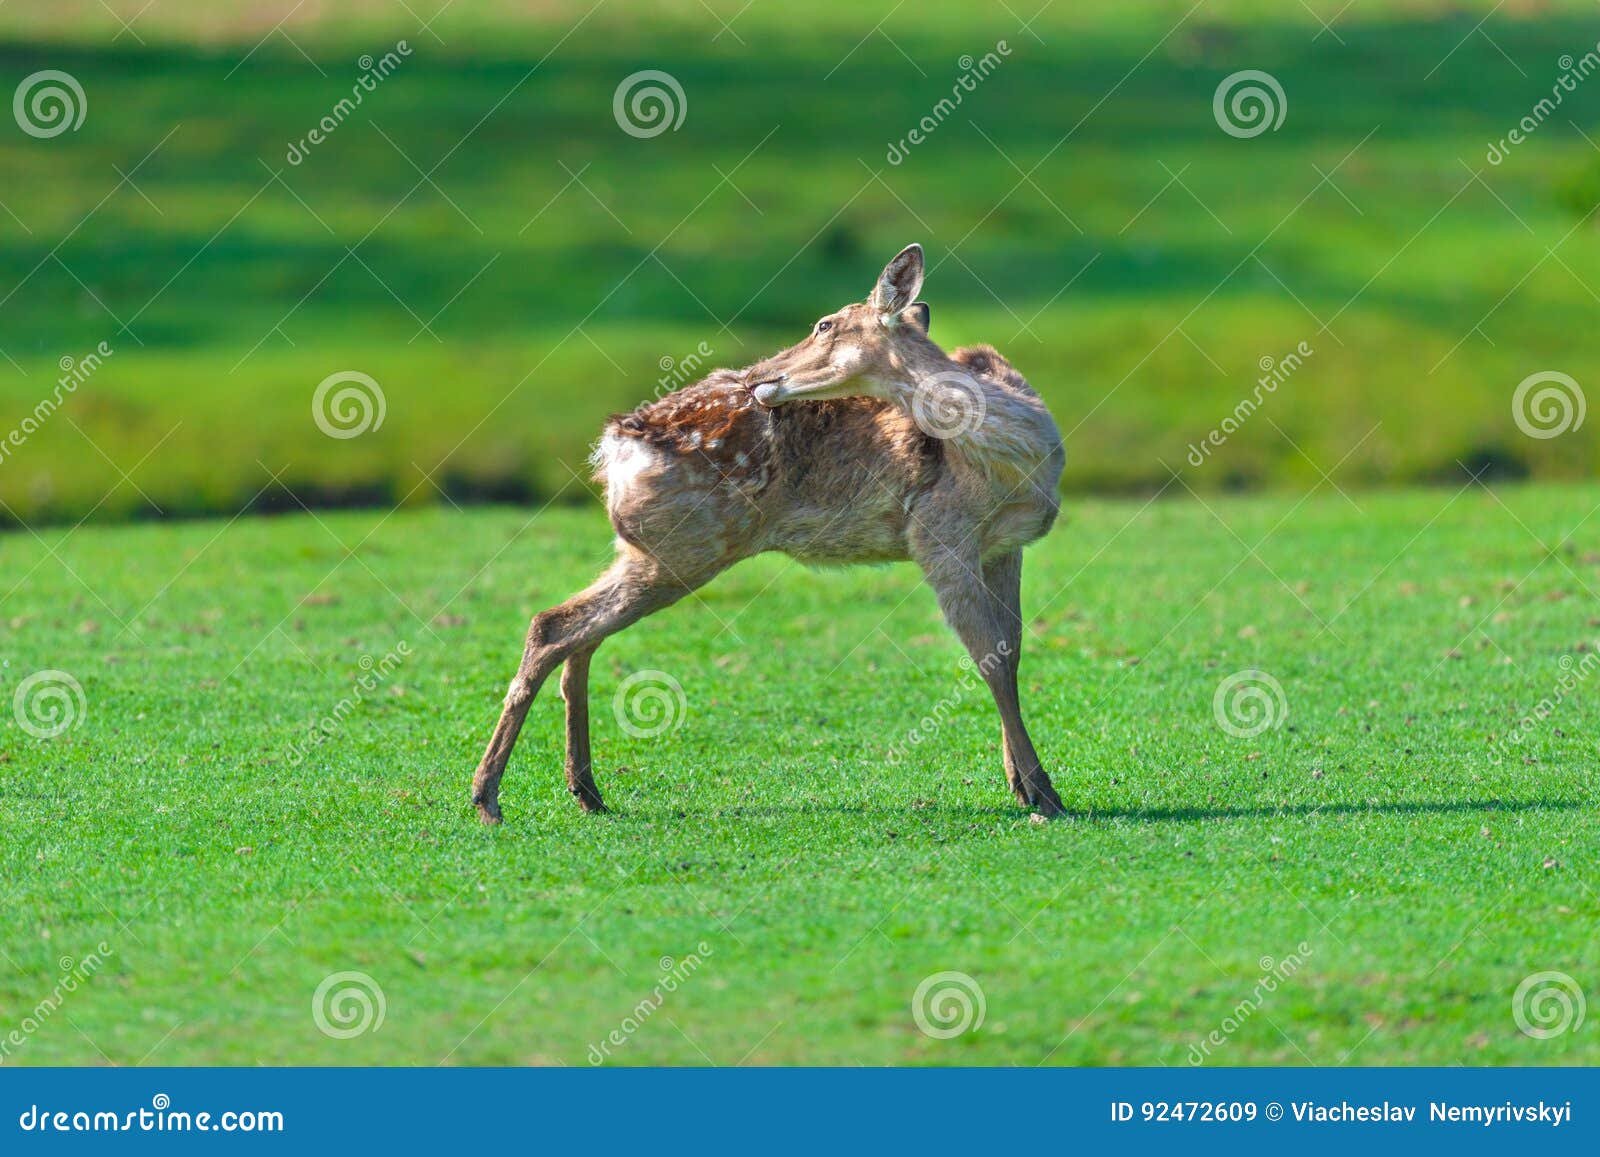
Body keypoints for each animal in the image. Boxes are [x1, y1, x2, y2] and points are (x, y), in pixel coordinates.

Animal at [470, 243, 1067, 823]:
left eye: (825, 324)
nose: (761, 374)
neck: (1016, 460)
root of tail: (612, 446)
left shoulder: (1004, 546)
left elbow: (1011, 651)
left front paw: (1022, 786)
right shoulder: (938, 533)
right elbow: (989, 657)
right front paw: (1045, 795)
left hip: (649, 548)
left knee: (574, 632)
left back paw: (586, 792)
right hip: (685, 546)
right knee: (555, 626)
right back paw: (488, 796)